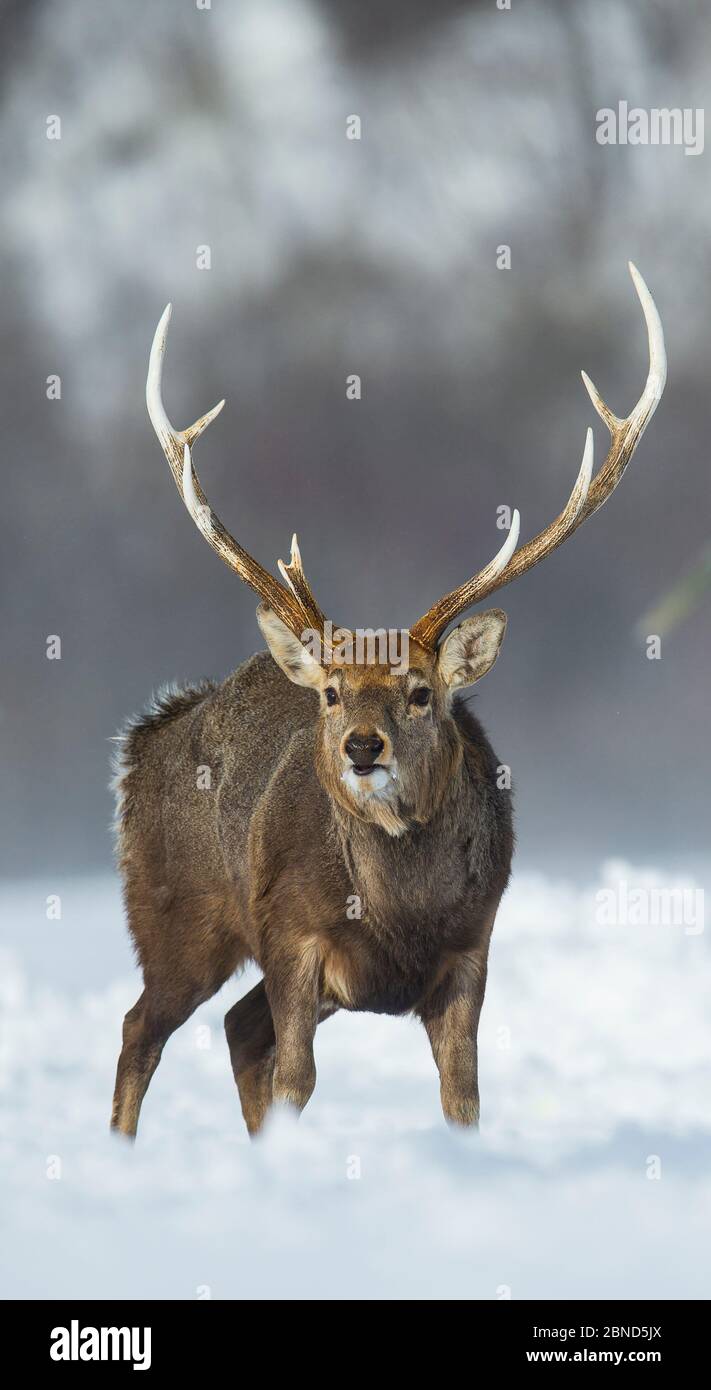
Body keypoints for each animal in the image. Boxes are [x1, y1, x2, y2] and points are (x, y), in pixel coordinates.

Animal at [111, 263, 666, 1139]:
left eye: (419, 692)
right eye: (332, 694)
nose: (362, 747)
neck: (398, 914)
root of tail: (144, 743)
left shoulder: (471, 947)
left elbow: (463, 1098)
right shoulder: (293, 935)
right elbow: (297, 1078)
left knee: (234, 1026)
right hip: (174, 912)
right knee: (144, 1026)